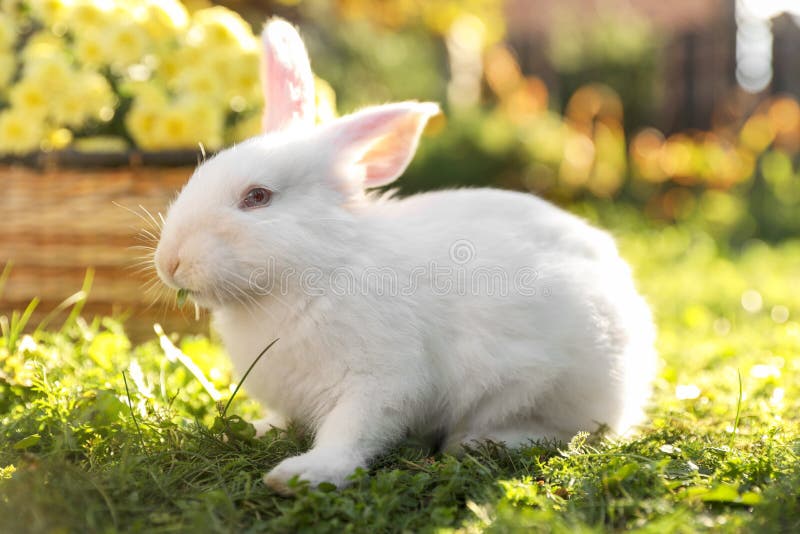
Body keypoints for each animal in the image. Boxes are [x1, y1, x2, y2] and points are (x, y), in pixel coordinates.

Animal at [154, 18, 657, 495]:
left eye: (257, 197)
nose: (169, 262)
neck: (323, 264)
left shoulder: (380, 382)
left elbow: (350, 433)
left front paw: (303, 474)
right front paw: (253, 430)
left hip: (558, 383)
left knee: (571, 432)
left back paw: (478, 442)